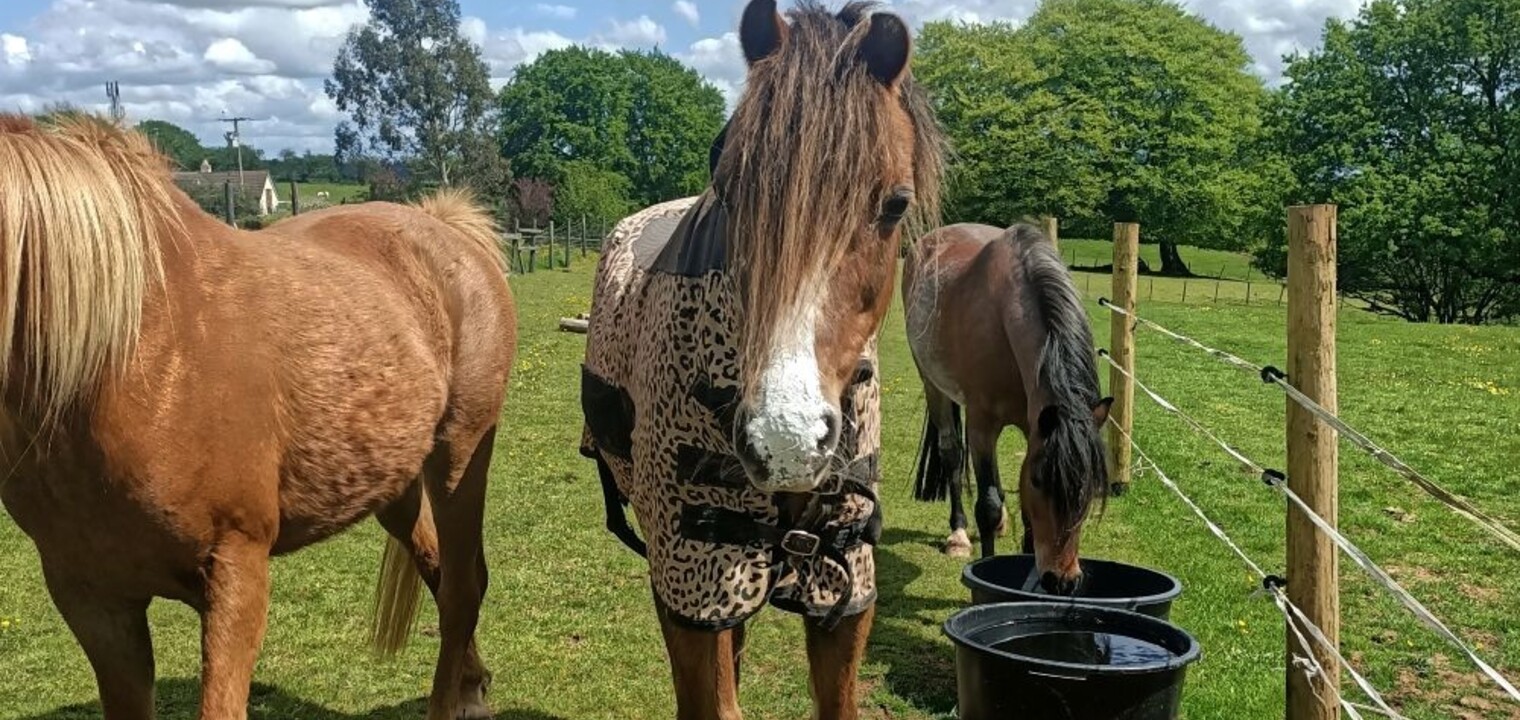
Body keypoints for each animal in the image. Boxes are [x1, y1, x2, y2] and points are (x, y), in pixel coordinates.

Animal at [0, 113, 517, 720]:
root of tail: (445, 226)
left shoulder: (236, 572)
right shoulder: (92, 598)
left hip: (459, 456)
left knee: (462, 588)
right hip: (393, 483)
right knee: (441, 570)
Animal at [903, 222, 1112, 593]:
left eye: (1090, 487)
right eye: (1041, 482)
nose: (1062, 581)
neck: (1001, 318)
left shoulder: (1034, 429)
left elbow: (1024, 510)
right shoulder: (982, 425)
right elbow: (986, 504)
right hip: (932, 385)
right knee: (952, 453)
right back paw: (958, 535)